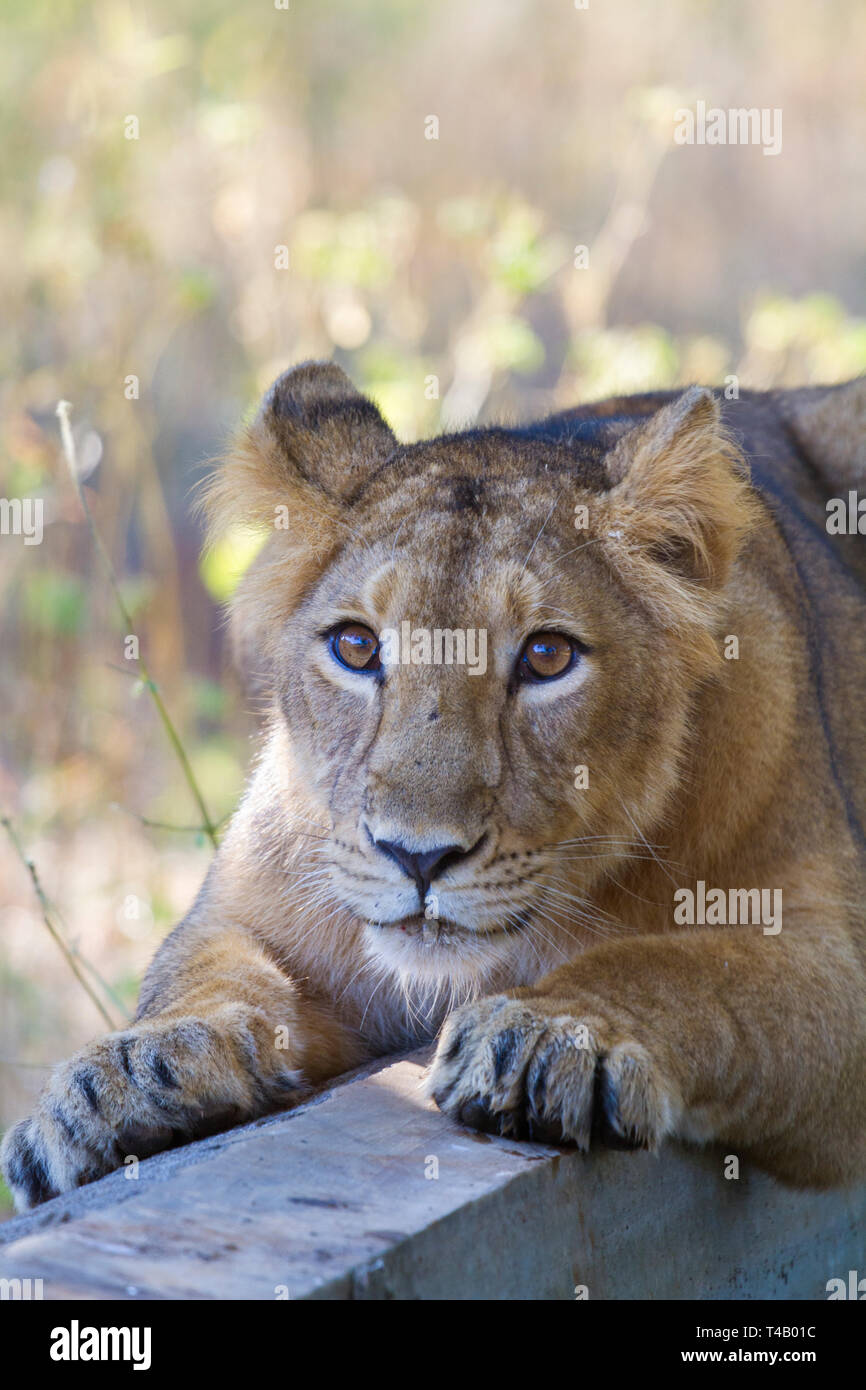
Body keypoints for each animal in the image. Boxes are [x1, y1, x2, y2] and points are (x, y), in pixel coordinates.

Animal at [3, 363, 866, 1209]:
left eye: (547, 656)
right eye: (356, 647)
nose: (417, 857)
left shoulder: (828, 958)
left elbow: (677, 969)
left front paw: (552, 1034)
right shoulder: (254, 910)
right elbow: (204, 973)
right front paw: (126, 1076)